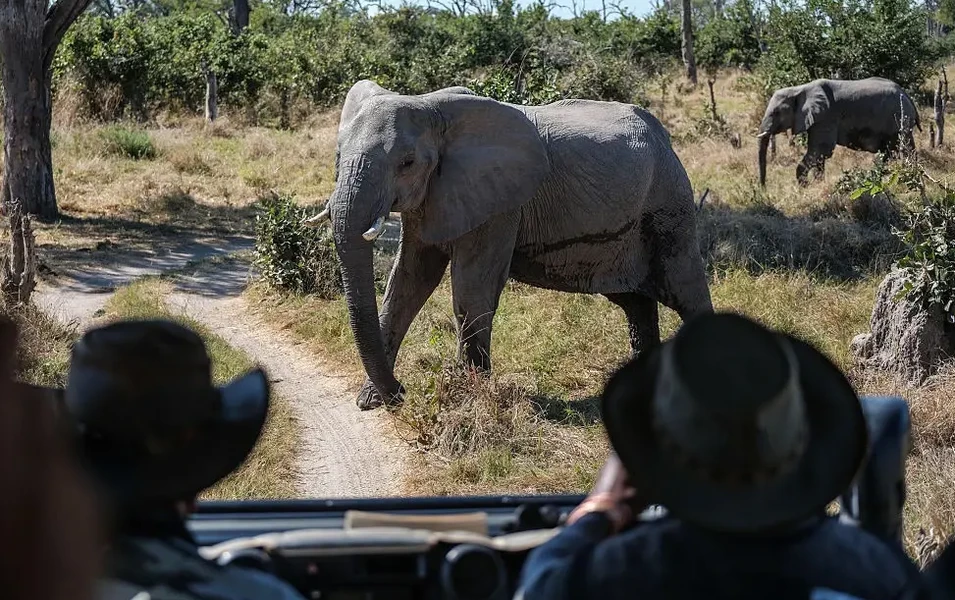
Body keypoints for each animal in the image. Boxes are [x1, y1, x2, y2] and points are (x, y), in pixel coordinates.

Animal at [307, 80, 714, 410]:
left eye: (406, 163)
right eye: (338, 157)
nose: (403, 392)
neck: (430, 106)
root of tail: (664, 135)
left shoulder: (500, 205)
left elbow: (471, 289)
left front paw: (467, 400)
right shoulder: (432, 200)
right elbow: (407, 282)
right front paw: (371, 401)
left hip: (669, 204)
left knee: (686, 290)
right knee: (636, 303)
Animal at [757, 77, 921, 187]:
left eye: (776, 113)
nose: (763, 188)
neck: (799, 89)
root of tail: (906, 94)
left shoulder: (826, 116)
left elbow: (821, 150)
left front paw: (806, 187)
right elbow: (819, 154)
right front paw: (818, 184)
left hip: (901, 119)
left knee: (902, 149)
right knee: (891, 152)